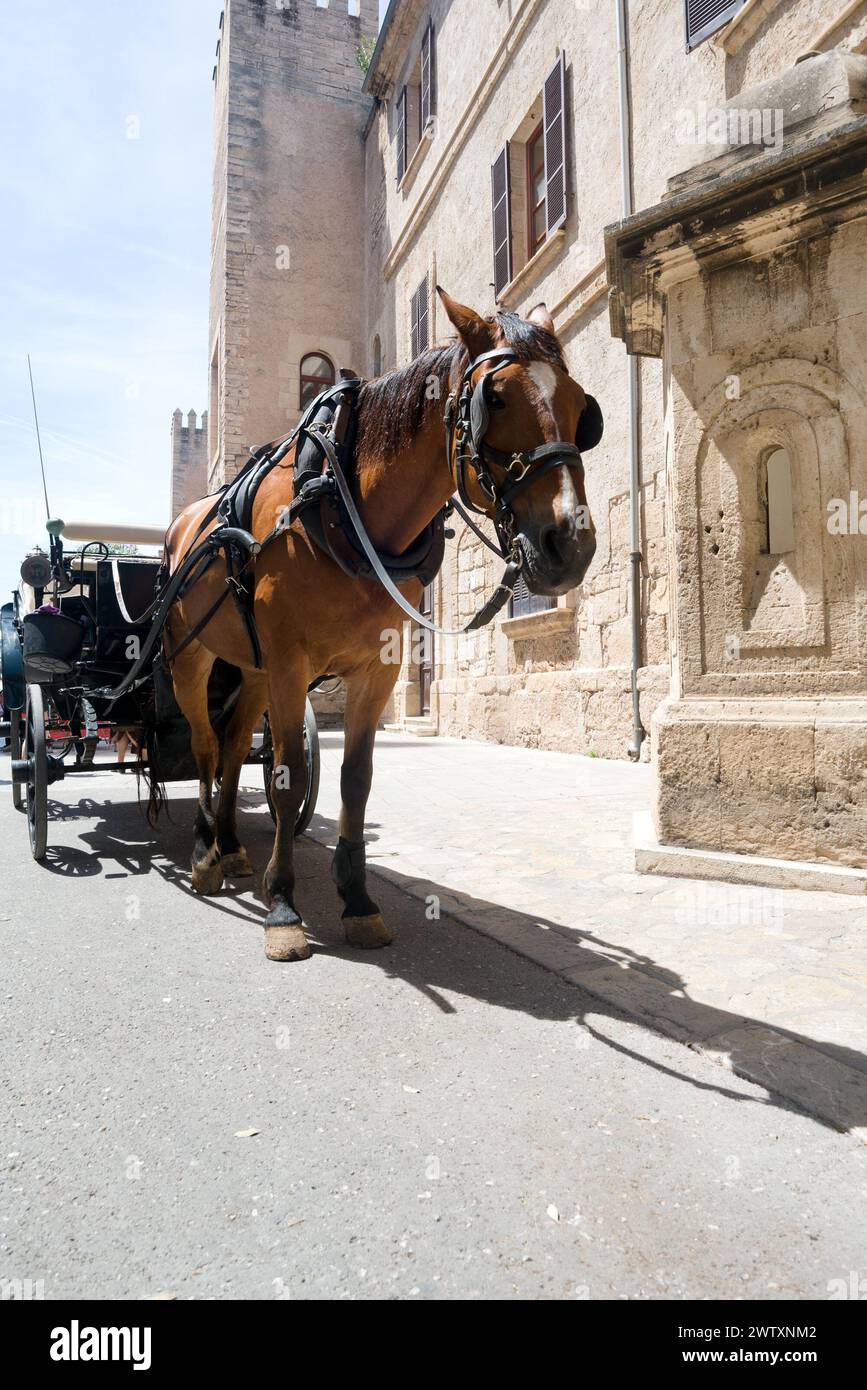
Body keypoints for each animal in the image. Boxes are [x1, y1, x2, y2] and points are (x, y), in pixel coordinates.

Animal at [163, 290, 599, 962]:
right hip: (192, 658)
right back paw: (205, 852)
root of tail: (186, 525)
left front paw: (357, 899)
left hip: (252, 668)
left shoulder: (378, 669)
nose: (570, 543)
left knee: (234, 746)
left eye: (581, 406)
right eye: (495, 398)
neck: (344, 506)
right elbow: (289, 780)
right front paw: (283, 904)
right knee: (207, 749)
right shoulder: (290, 665)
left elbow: (355, 780)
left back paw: (231, 847)